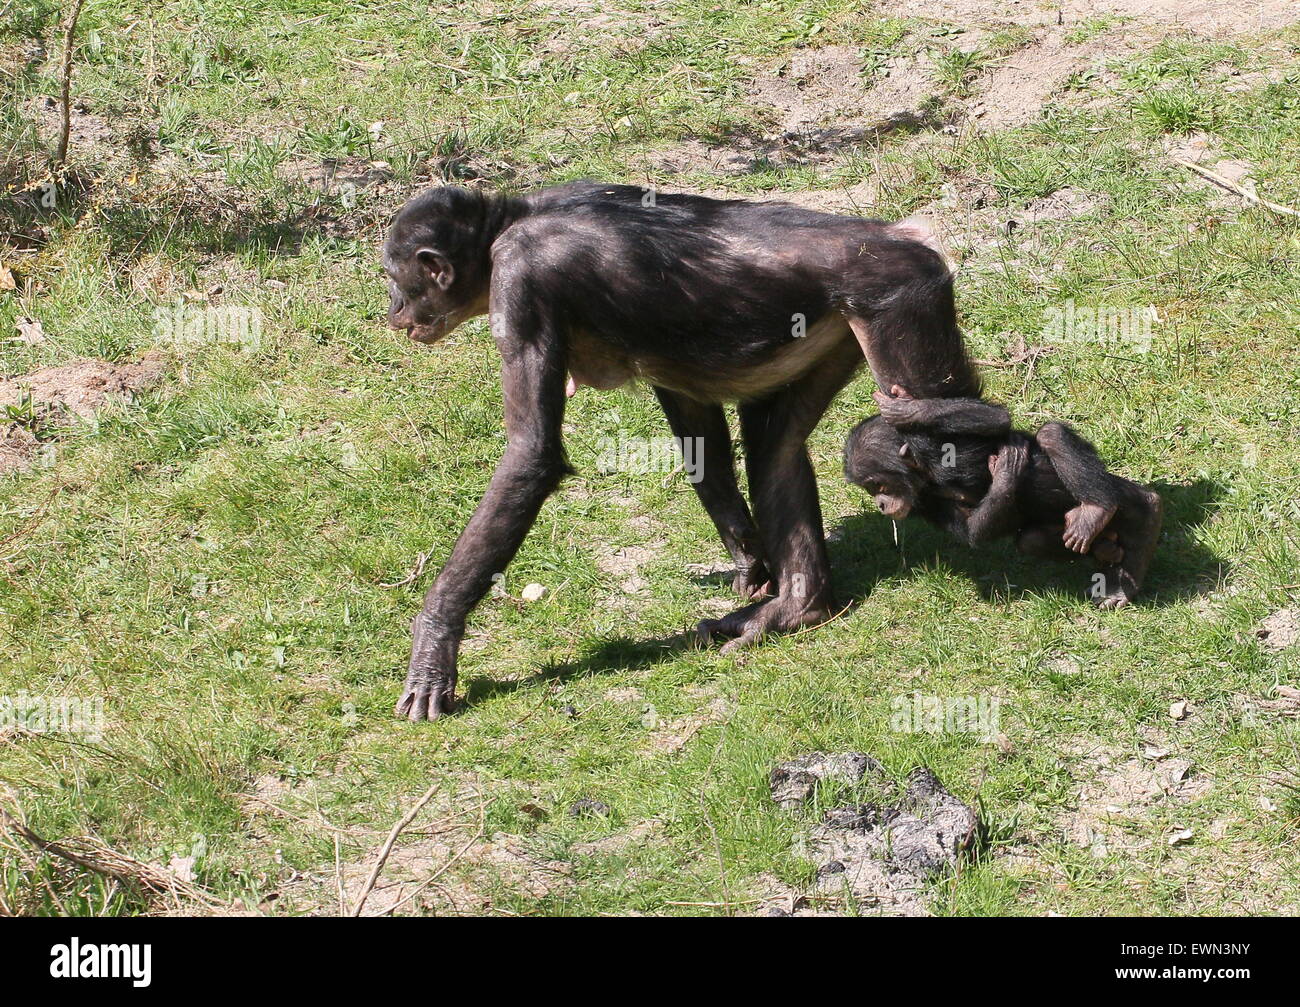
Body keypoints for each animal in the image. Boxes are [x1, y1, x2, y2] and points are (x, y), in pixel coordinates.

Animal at [382, 182, 983, 719]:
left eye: (393, 276)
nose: (391, 308)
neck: (505, 228)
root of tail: (903, 235)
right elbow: (695, 421)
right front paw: (748, 559)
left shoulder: (520, 285)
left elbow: (531, 454)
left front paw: (434, 639)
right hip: (833, 333)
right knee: (776, 446)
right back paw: (795, 607)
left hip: (901, 299)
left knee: (940, 432)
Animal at [843, 386, 1162, 609]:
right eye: (870, 490)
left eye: (878, 485)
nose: (879, 504)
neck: (926, 474)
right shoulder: (927, 503)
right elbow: (973, 530)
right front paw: (1006, 474)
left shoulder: (941, 445)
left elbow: (995, 420)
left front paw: (904, 407)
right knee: (1030, 540)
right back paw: (1107, 551)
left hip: (1113, 493)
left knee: (1052, 435)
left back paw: (1105, 513)